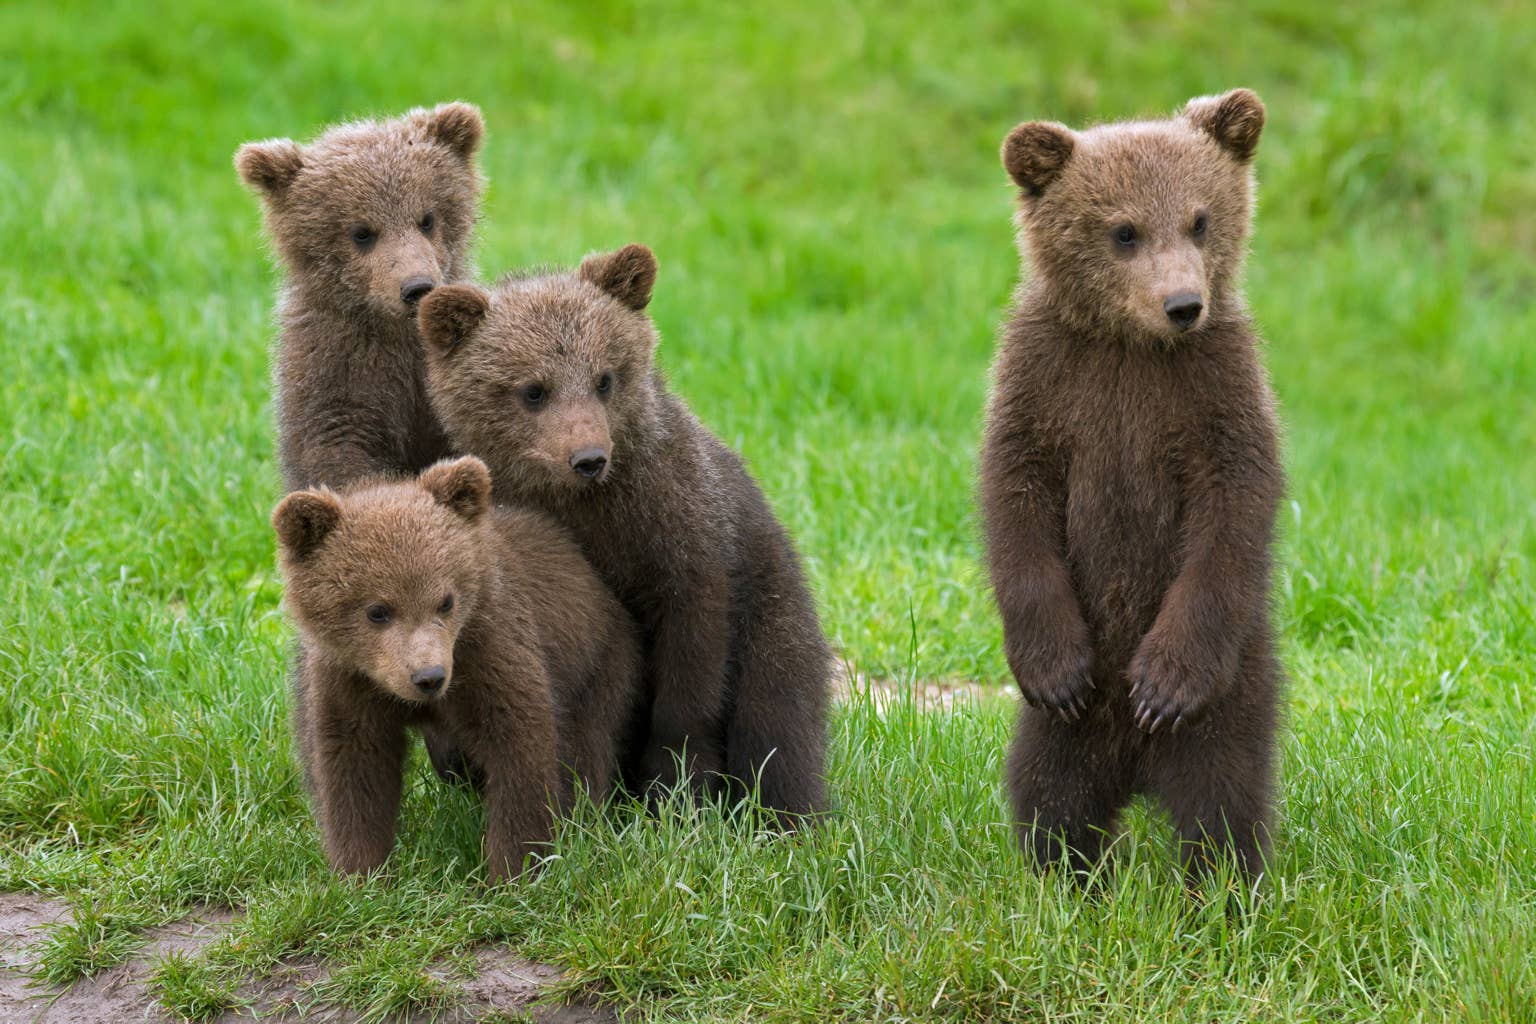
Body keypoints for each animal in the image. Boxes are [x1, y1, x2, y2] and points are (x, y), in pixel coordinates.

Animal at [273, 456, 641, 881]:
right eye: (377, 610)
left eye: (446, 600)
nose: (429, 677)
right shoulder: (350, 679)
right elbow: (355, 764)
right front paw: (360, 871)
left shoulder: (488, 653)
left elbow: (520, 748)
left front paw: (512, 870)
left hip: (598, 662)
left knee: (588, 747)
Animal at [413, 245, 832, 827]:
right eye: (533, 390)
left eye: (604, 378)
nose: (589, 458)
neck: (590, 511)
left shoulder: (682, 538)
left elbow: (690, 673)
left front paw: (676, 791)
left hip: (774, 615)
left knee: (777, 724)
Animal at [980, 89, 1284, 884]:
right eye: (1123, 231)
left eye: (1200, 218)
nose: (1182, 304)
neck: (1132, 347)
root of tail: (1139, 771)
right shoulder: (1050, 381)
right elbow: (1014, 495)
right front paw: (1055, 668)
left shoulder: (1213, 391)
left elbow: (1235, 507)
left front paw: (1163, 684)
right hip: (1064, 732)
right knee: (1050, 793)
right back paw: (1068, 880)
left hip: (1236, 691)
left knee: (1223, 800)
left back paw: (1219, 889)